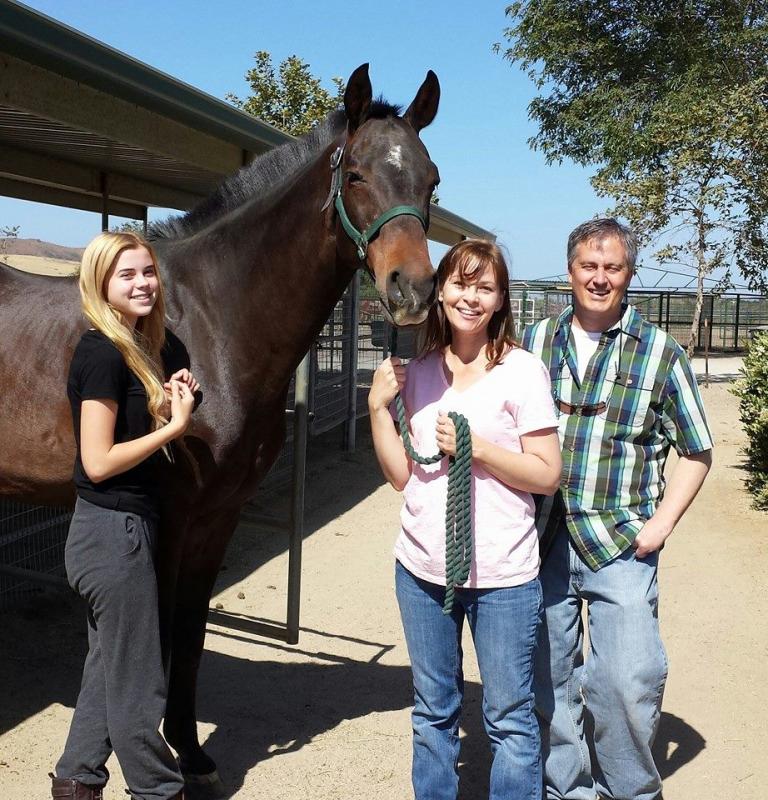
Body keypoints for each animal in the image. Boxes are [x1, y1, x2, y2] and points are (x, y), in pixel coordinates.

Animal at [0, 63, 440, 784]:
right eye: (355, 174)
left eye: (431, 179)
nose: (413, 290)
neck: (213, 319)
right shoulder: (170, 517)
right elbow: (157, 636)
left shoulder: (219, 516)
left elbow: (192, 635)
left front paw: (192, 750)